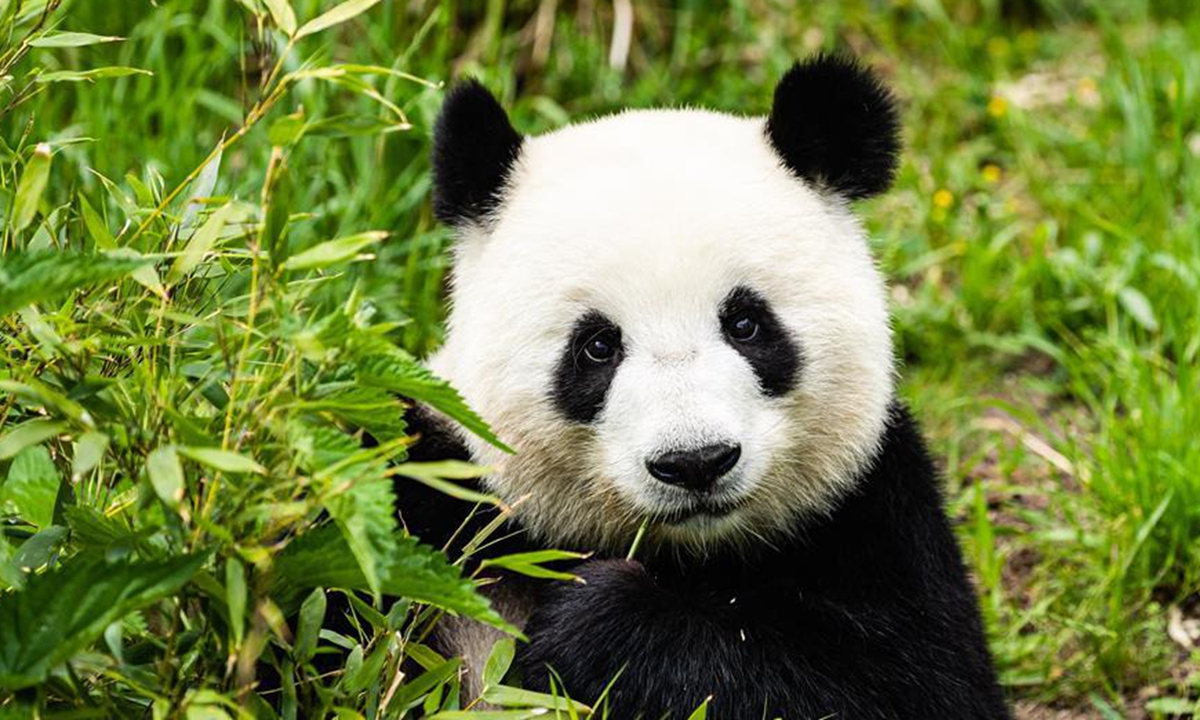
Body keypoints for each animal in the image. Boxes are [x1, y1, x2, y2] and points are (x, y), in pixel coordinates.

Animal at [396, 55, 1011, 719]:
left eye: (745, 323)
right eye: (597, 346)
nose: (695, 462)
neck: (687, 552)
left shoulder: (872, 510)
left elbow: (910, 684)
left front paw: (597, 619)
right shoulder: (442, 487)